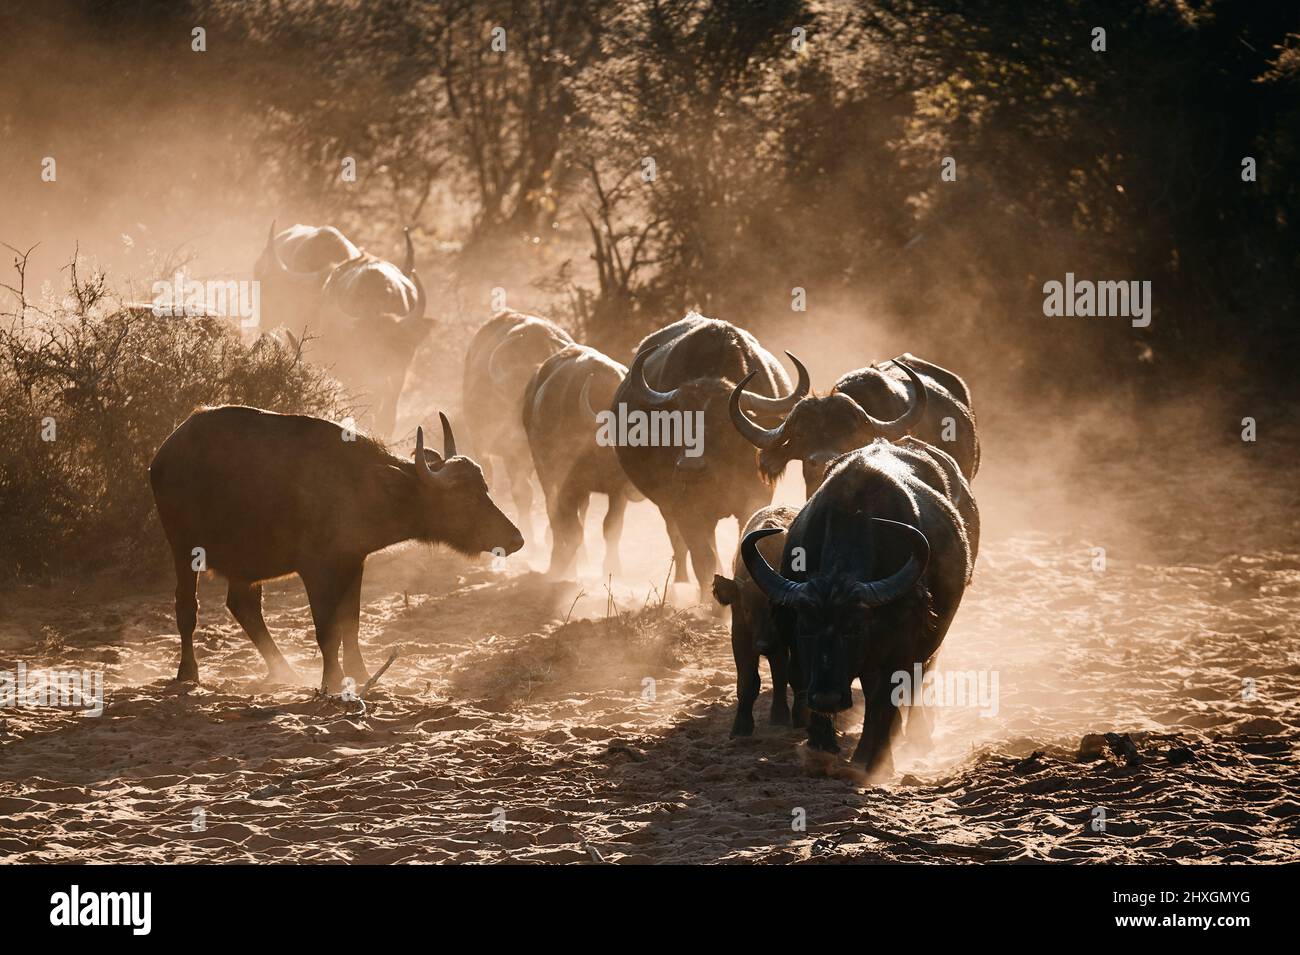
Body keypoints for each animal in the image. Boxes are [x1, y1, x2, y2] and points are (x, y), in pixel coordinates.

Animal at [149, 406, 522, 690]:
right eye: (463, 499)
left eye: (484, 489)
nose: (516, 538)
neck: (361, 485)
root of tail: (163, 454)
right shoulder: (315, 570)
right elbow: (326, 628)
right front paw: (332, 680)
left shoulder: (354, 563)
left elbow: (351, 623)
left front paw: (360, 673)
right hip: (183, 547)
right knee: (187, 607)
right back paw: (188, 673)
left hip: (246, 559)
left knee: (243, 605)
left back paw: (284, 670)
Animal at [522, 344, 638, 577]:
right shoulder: (566, 484)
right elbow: (570, 529)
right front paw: (564, 568)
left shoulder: (617, 491)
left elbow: (612, 527)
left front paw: (613, 569)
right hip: (544, 472)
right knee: (554, 513)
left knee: (581, 513)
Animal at [610, 313, 809, 599]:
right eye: (678, 419)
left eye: (723, 422)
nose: (690, 468)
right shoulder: (684, 507)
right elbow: (702, 558)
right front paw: (708, 601)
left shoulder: (754, 497)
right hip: (667, 507)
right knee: (680, 544)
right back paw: (680, 583)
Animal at [740, 439, 974, 777]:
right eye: (804, 628)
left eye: (854, 628)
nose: (827, 698)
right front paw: (821, 746)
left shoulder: (899, 649)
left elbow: (884, 700)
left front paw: (875, 760)